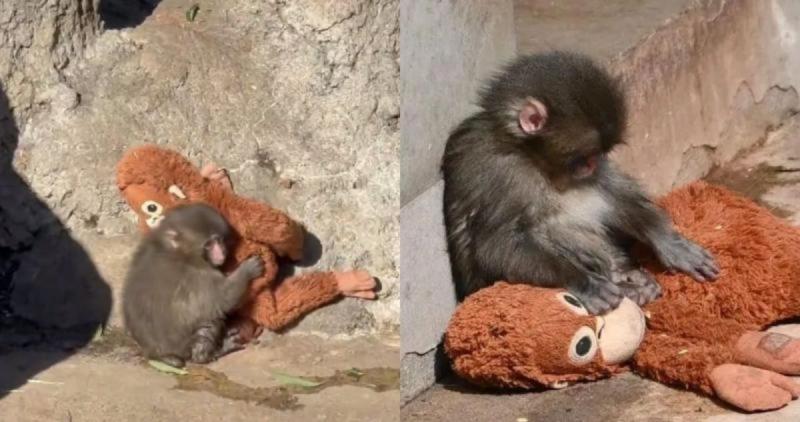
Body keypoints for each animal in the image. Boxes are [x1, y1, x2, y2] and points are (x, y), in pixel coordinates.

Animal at [122, 203, 264, 367]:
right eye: (209, 244)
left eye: (219, 240)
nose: (221, 253)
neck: (176, 251)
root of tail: (155, 353)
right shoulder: (200, 275)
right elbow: (223, 299)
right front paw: (248, 269)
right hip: (184, 345)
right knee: (209, 321)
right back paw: (210, 354)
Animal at [441, 51, 720, 314]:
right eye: (583, 157)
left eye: (598, 154)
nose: (593, 165)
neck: (530, 156)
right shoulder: (498, 171)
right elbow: (496, 244)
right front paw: (585, 282)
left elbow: (611, 190)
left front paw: (669, 241)